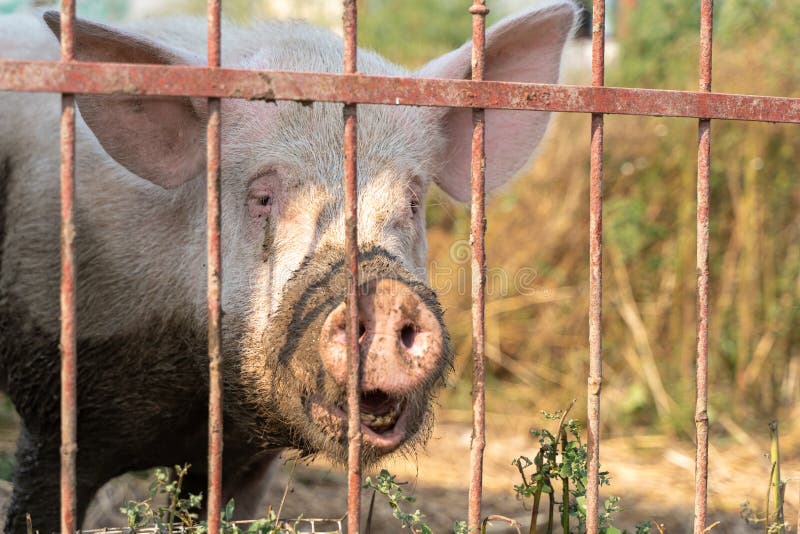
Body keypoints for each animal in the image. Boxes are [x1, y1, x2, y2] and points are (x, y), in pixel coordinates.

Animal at [0, 1, 577, 531]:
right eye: (262, 196)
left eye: (413, 201)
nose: (386, 297)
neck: (196, 398)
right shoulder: (54, 410)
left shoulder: (246, 462)